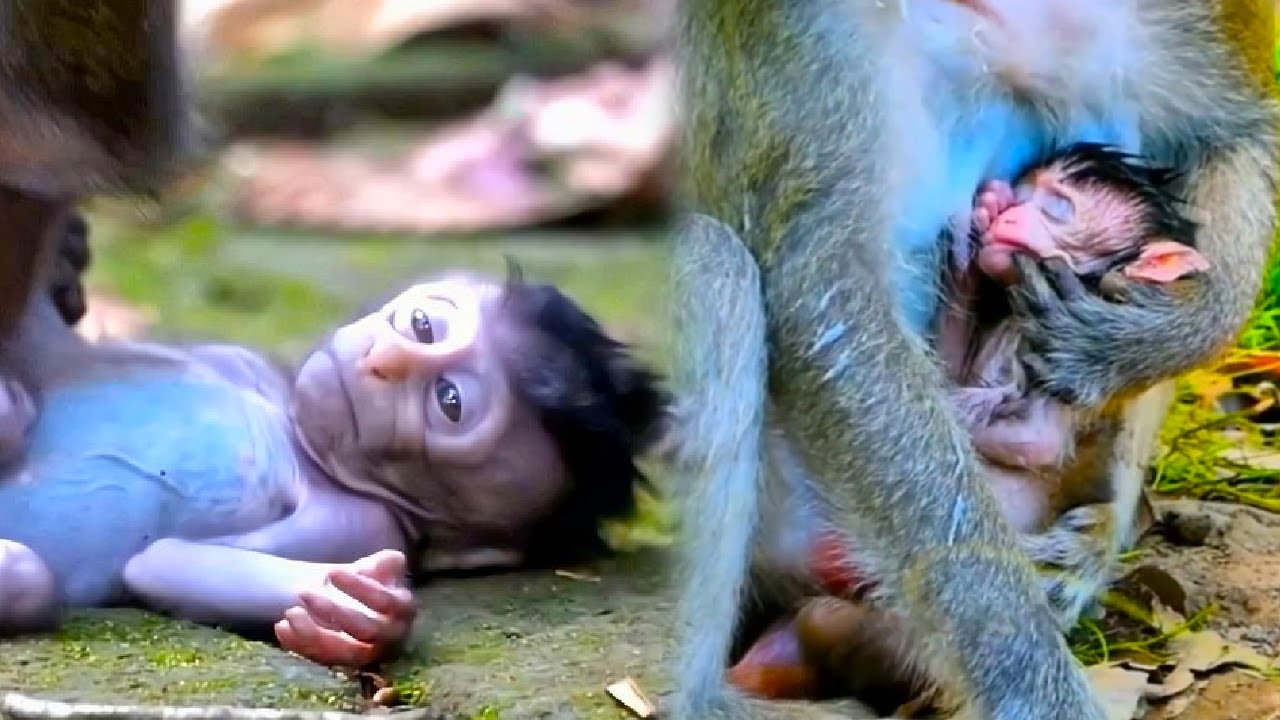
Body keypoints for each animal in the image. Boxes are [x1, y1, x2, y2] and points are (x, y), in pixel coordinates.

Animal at [0, 253, 668, 669]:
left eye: (448, 401)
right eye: (422, 324)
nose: (387, 362)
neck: (300, 438)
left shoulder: (363, 522)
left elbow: (160, 560)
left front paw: (355, 615)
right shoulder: (235, 357)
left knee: (32, 579)